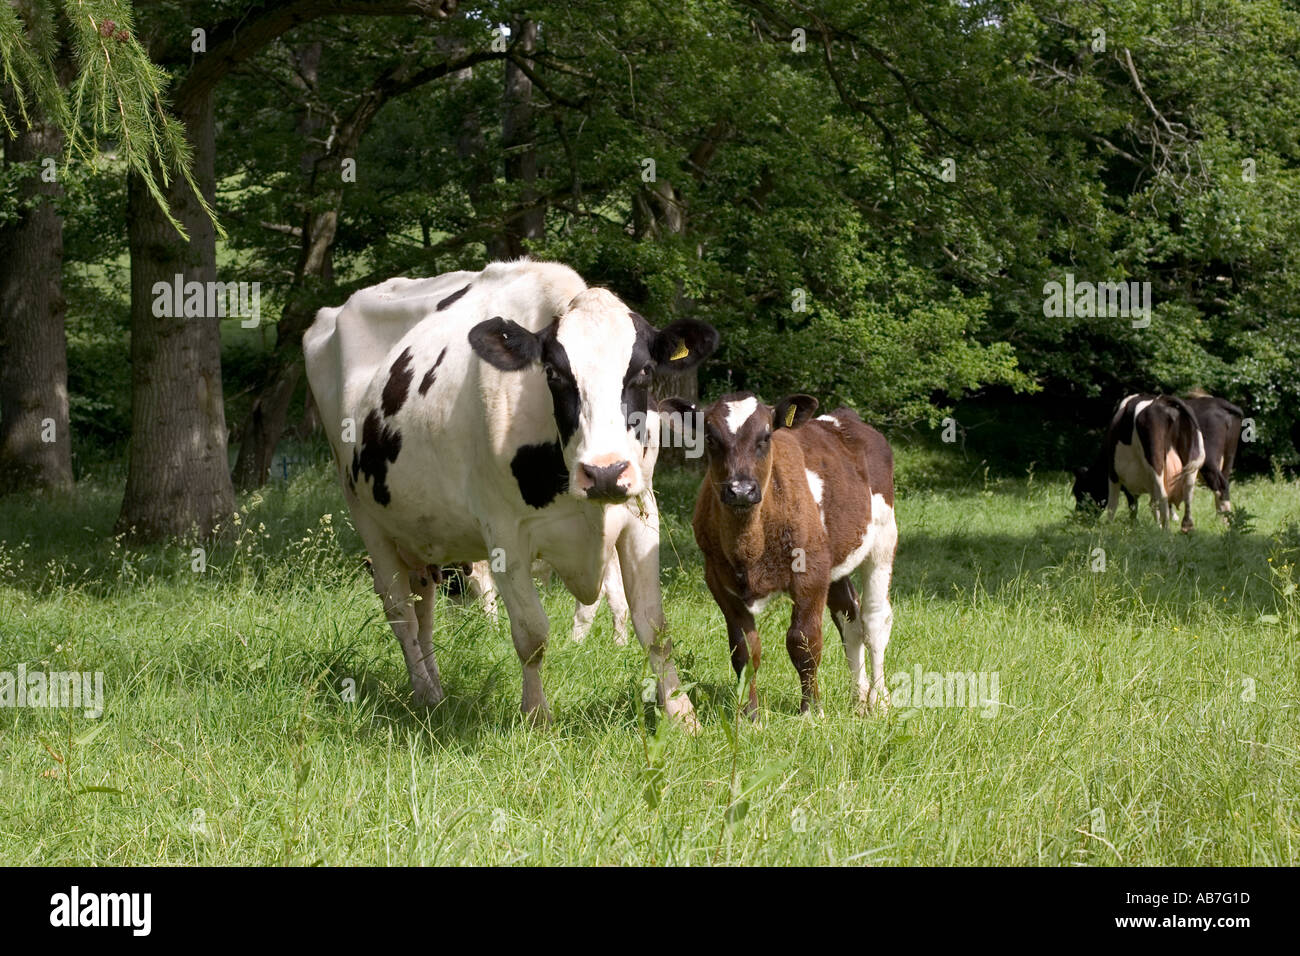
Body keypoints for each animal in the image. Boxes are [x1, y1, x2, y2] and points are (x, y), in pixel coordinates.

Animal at [304, 259, 718, 725]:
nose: (604, 472)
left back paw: (434, 694)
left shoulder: (641, 513)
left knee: (423, 606)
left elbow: (655, 627)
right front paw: (537, 716)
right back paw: (424, 691)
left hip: (417, 534)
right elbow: (532, 635)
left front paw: (681, 714)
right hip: (367, 518)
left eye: (644, 371)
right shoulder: (503, 534)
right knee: (401, 614)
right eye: (554, 373)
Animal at [663, 392, 897, 718]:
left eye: (765, 437)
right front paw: (749, 716)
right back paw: (858, 698)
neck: (750, 549)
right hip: (835, 558)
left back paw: (879, 701)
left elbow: (804, 642)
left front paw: (811, 712)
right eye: (710, 438)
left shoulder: (811, 573)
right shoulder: (718, 581)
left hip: (883, 541)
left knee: (874, 620)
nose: (741, 490)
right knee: (850, 619)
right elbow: (744, 650)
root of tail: (843, 418)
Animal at [1072, 394, 1206, 531]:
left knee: (1163, 496)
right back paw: (1186, 527)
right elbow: (1150, 505)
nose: (1079, 519)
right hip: (1190, 460)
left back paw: (1166, 530)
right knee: (1188, 491)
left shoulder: (1114, 474)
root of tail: (1164, 400)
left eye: (1080, 492)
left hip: (1155, 462)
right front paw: (1154, 525)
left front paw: (1110, 526)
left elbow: (1116, 504)